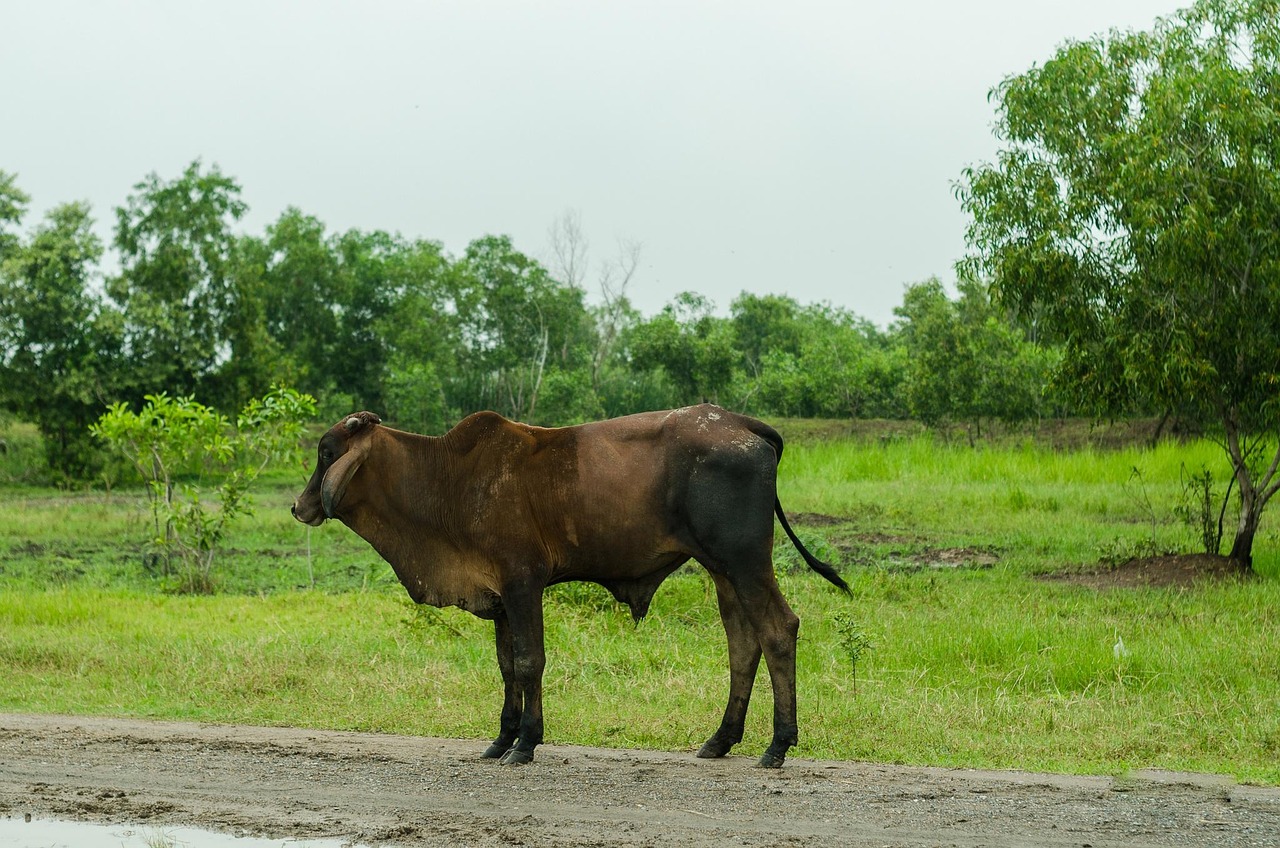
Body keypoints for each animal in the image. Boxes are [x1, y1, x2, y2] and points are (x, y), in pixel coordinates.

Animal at [291, 404, 849, 768]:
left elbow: (528, 662)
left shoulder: (523, 583)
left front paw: (525, 744)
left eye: (326, 452)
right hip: (721, 569)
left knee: (778, 629)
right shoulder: (499, 598)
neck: (447, 479)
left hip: (745, 560)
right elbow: (506, 667)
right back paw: (721, 739)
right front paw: (500, 739)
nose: (300, 506)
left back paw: (777, 745)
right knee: (743, 643)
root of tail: (743, 423)